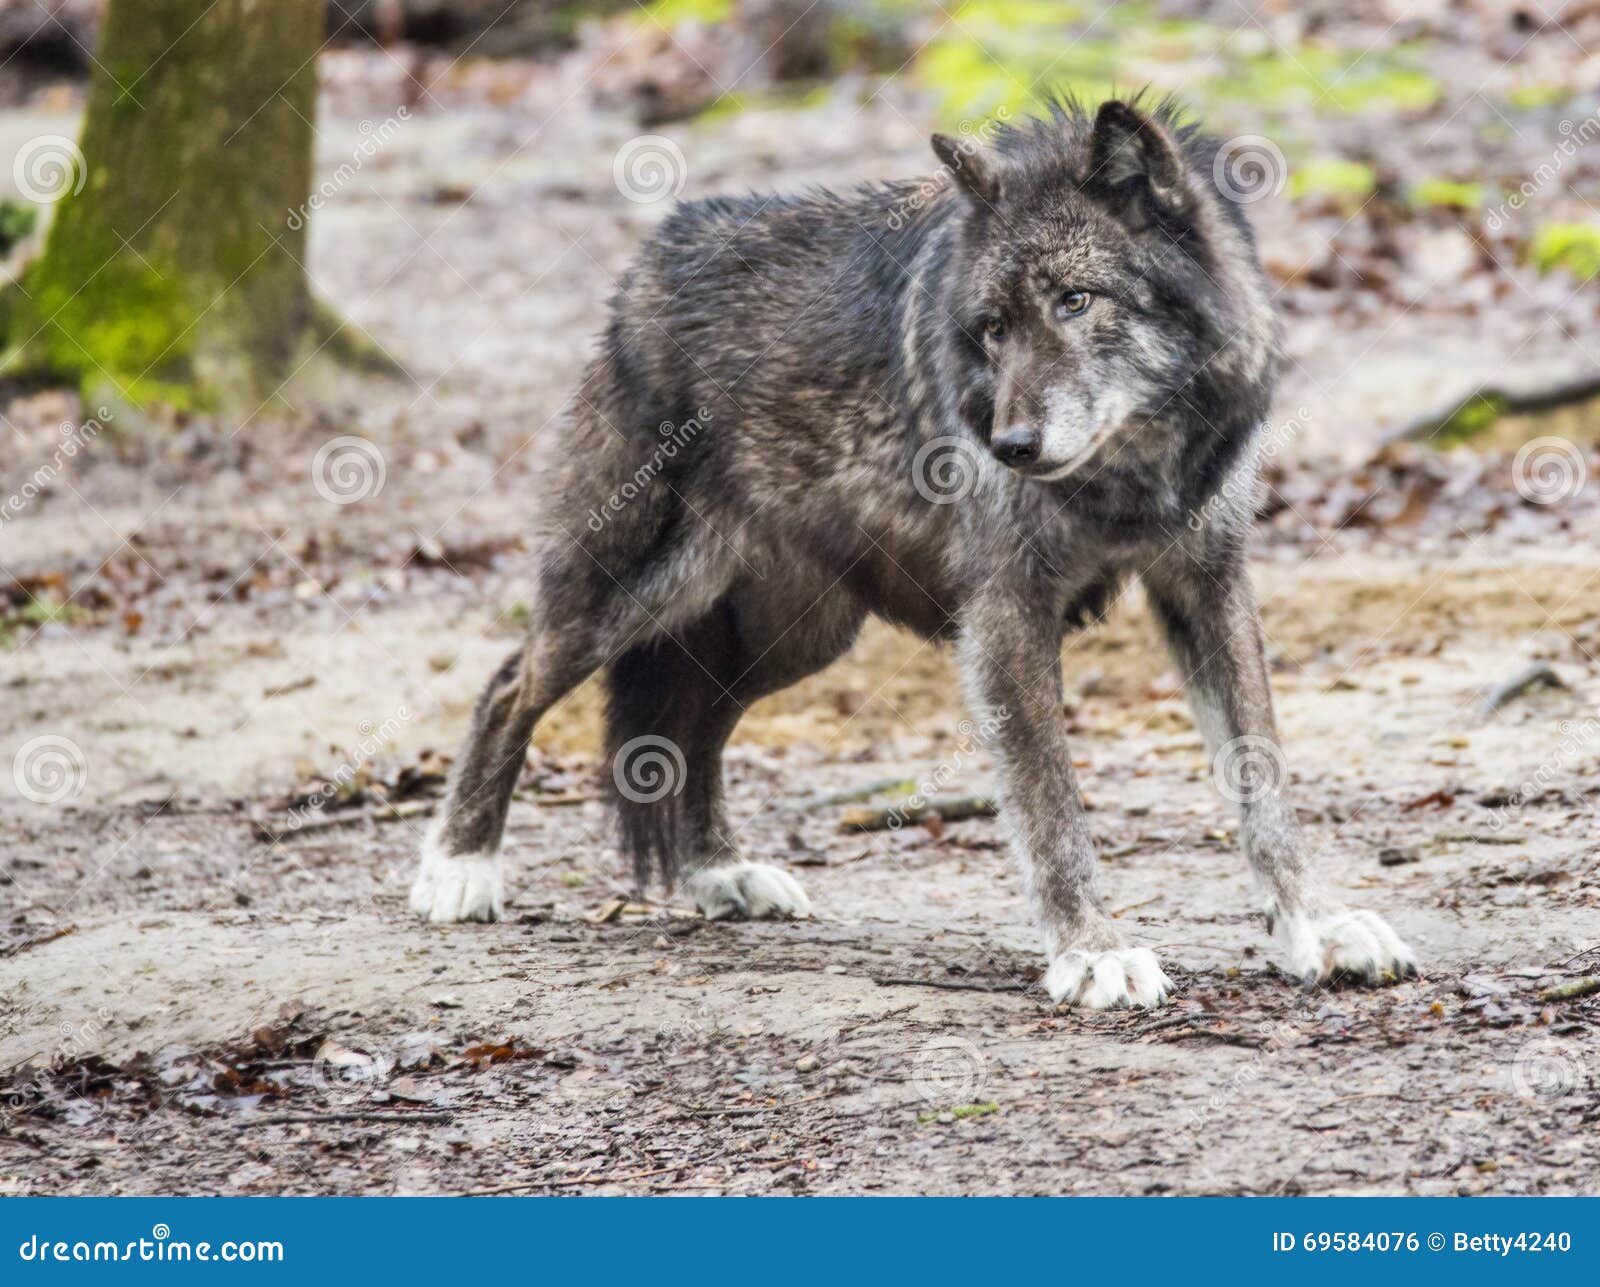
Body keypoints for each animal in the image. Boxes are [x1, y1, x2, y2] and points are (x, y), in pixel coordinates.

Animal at [407, 96, 1417, 1008]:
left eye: (1076, 301)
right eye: (994, 328)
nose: (1007, 446)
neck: (1130, 473)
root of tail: (649, 260)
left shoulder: (1210, 585)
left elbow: (1263, 779)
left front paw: (1316, 928)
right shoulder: (1007, 610)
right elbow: (1051, 806)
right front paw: (1092, 952)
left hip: (790, 639)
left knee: (689, 725)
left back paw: (720, 874)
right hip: (629, 594)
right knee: (509, 685)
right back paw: (459, 867)